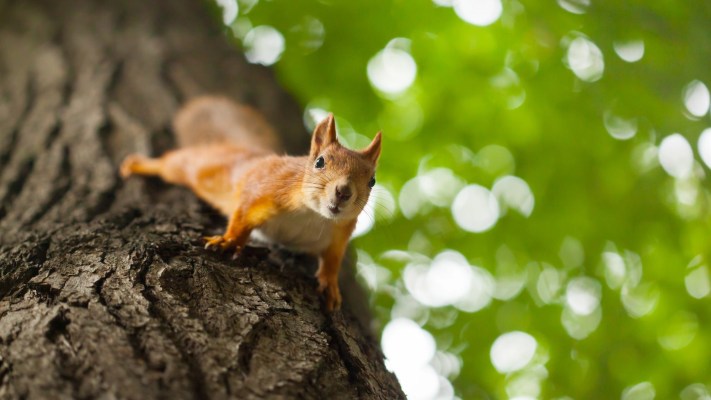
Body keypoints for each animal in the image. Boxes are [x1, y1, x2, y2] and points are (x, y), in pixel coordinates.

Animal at [120, 96, 381, 310]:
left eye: (372, 181)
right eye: (319, 162)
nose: (343, 191)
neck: (313, 215)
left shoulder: (340, 234)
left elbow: (332, 261)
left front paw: (330, 283)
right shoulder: (262, 191)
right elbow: (242, 217)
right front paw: (229, 241)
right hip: (190, 165)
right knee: (169, 163)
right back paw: (139, 164)